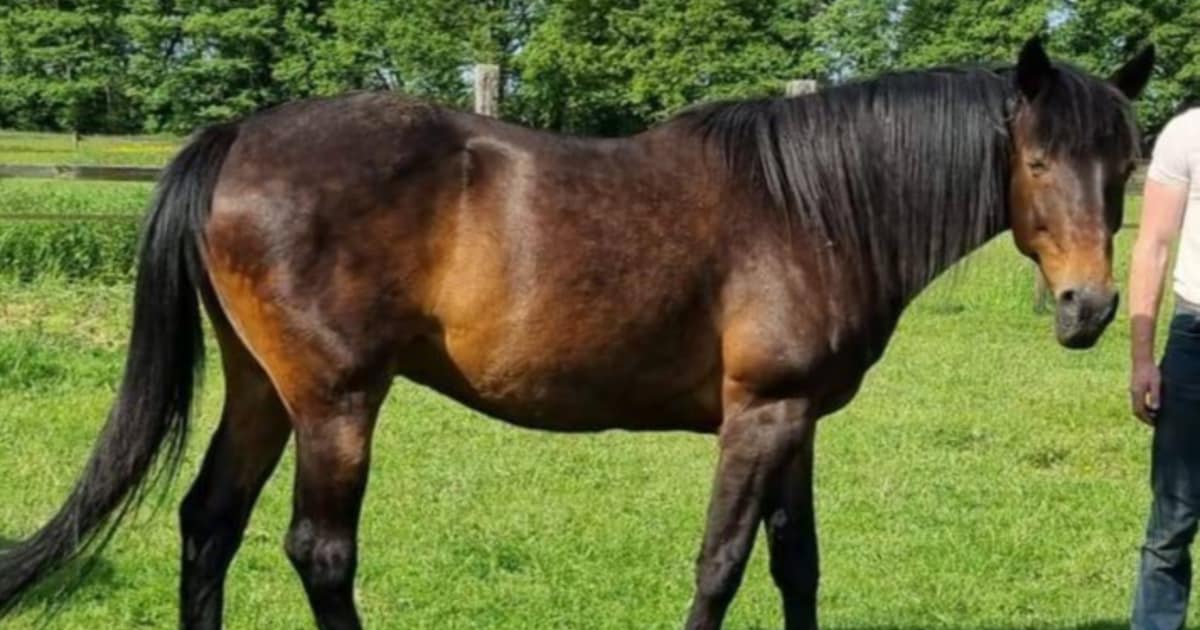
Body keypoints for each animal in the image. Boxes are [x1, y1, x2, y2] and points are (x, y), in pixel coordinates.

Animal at [0, 37, 1155, 629]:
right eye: (1038, 161)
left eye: (1128, 165)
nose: (1089, 308)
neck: (813, 206)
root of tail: (241, 136)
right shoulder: (760, 415)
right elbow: (722, 563)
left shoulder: (798, 421)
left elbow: (797, 563)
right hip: (335, 402)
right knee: (318, 552)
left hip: (262, 389)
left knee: (210, 524)